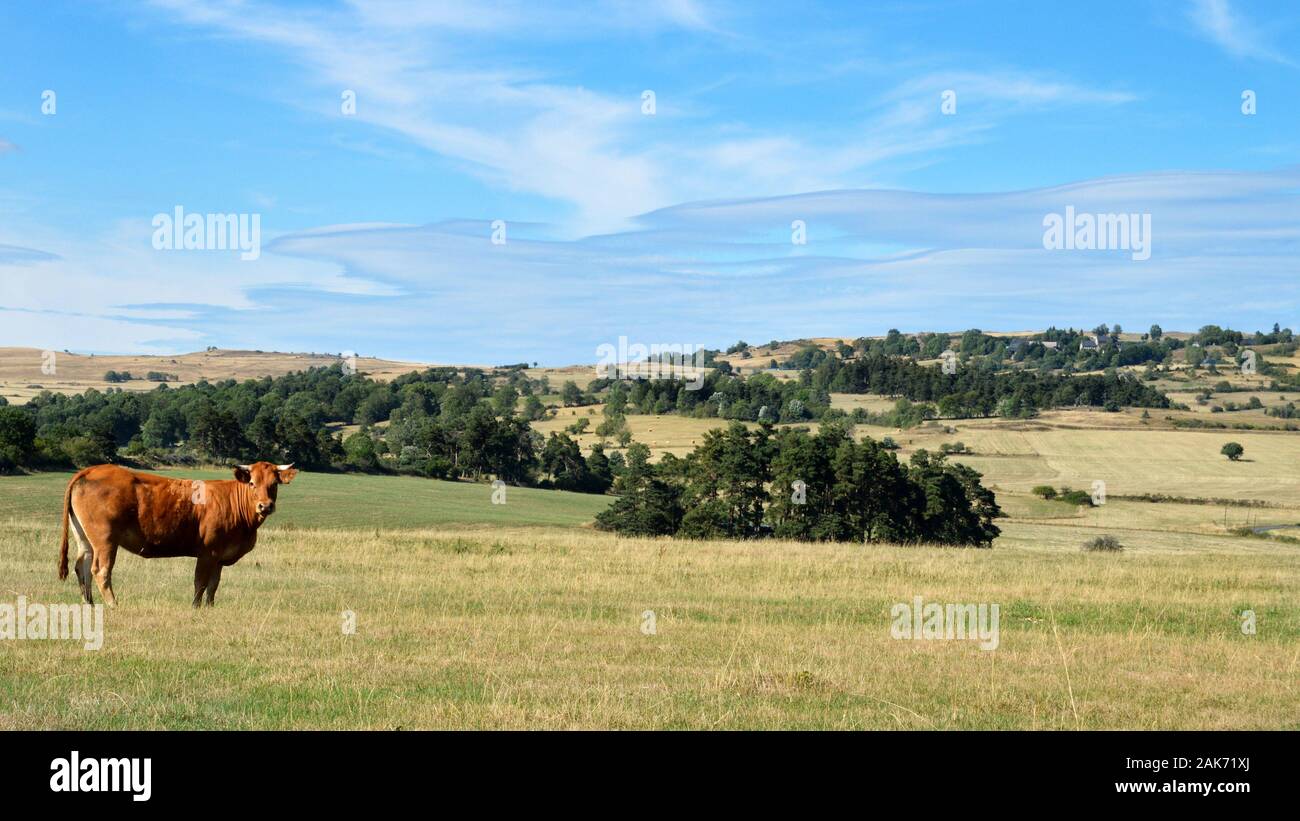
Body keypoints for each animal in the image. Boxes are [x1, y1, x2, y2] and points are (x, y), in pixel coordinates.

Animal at [57, 462, 298, 608]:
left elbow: (213, 585)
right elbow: (200, 582)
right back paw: (113, 604)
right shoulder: (208, 552)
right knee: (101, 570)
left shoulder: (219, 557)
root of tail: (91, 470)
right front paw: (196, 607)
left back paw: (89, 603)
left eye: (274, 484)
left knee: (82, 566)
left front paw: (210, 607)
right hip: (105, 539)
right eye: (252, 483)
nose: (265, 506)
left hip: (85, 539)